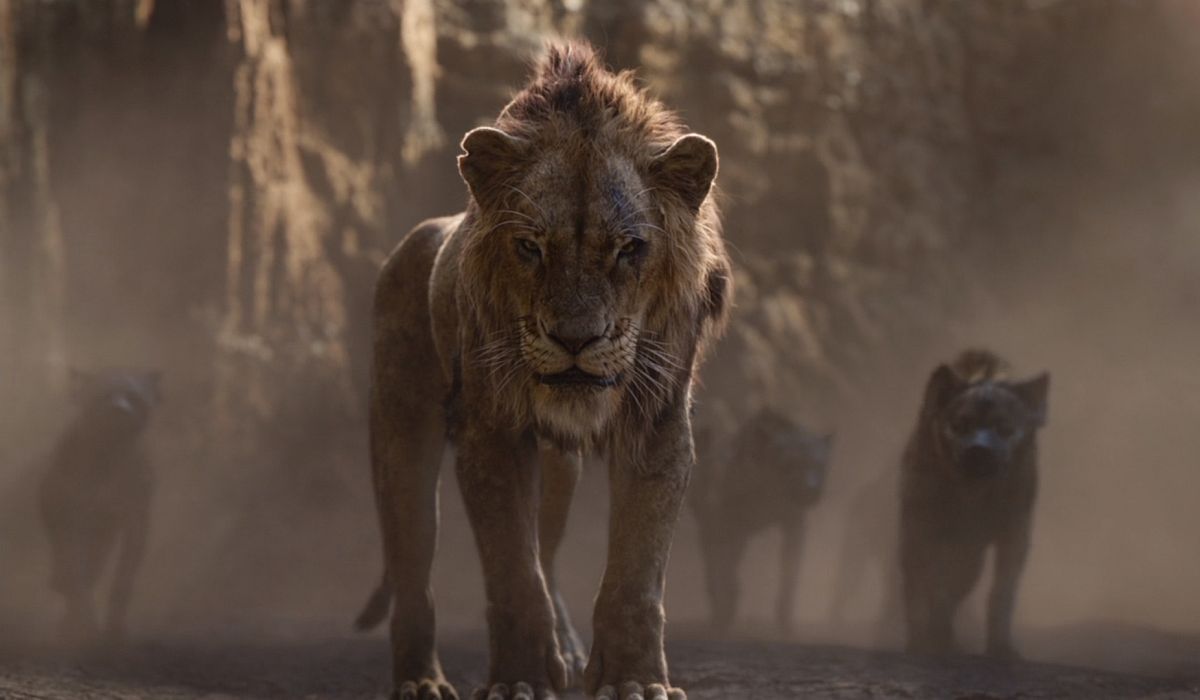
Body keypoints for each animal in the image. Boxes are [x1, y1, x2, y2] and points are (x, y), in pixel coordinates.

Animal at [354, 42, 731, 700]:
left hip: (558, 471)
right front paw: (518, 680)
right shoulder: (493, 435)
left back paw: (569, 650)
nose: (574, 339)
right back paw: (421, 680)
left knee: (548, 553)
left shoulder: (658, 427)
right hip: (402, 436)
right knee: (413, 569)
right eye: (530, 247)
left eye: (629, 248)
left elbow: (635, 576)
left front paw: (632, 681)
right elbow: (512, 572)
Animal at [899, 349, 1049, 659]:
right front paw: (924, 643)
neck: (973, 498)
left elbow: (1001, 595)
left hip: (972, 559)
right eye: (960, 425)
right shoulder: (922, 534)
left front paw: (1001, 649)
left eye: (1005, 428)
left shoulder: (1013, 536)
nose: (979, 449)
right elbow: (927, 590)